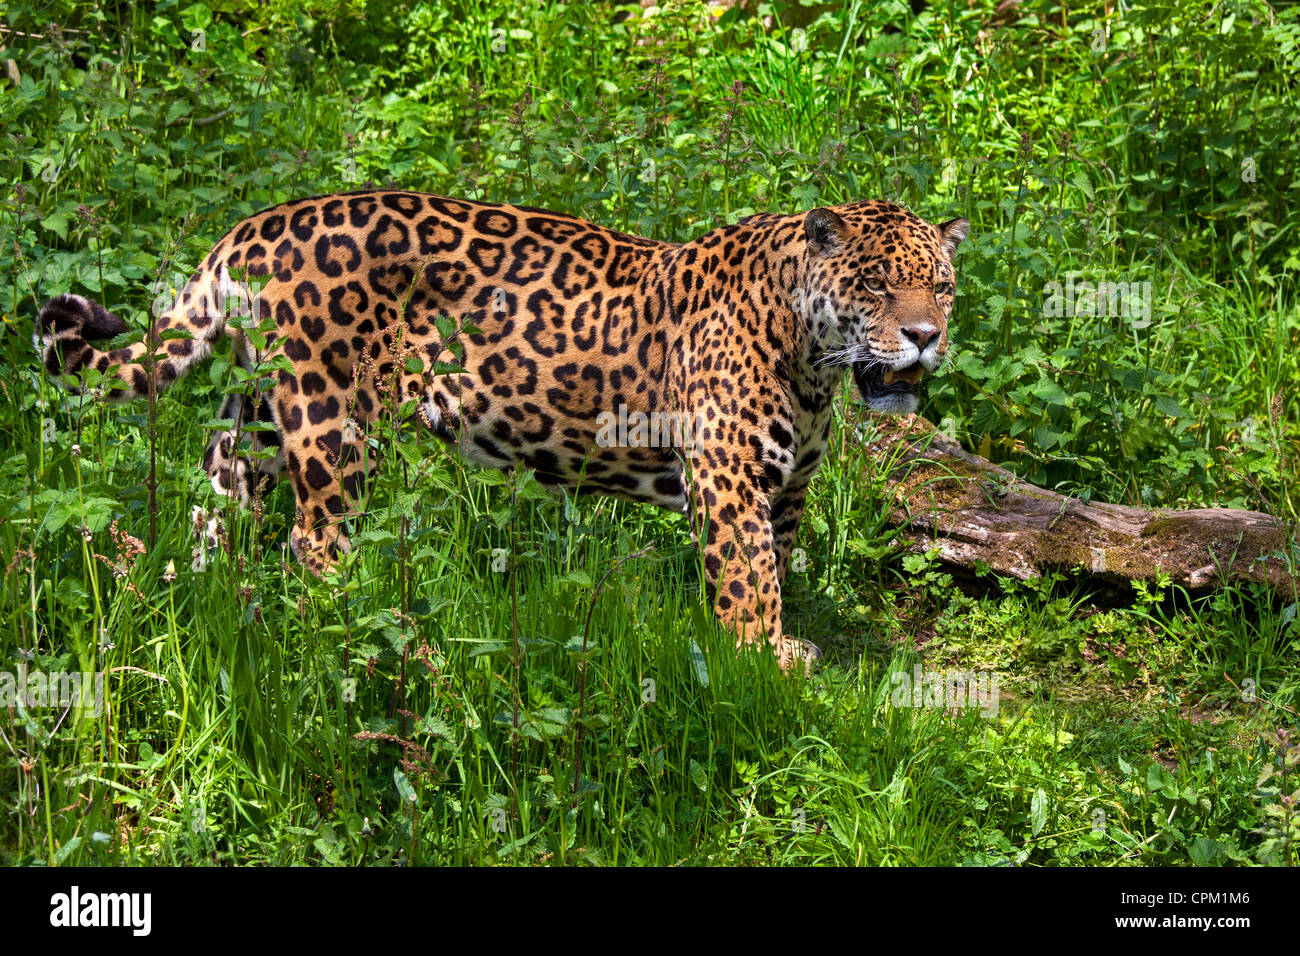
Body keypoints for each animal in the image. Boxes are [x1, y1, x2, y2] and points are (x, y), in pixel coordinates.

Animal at [38, 190, 968, 671]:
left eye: (943, 287)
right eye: (877, 285)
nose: (926, 336)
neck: (812, 363)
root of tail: (250, 228)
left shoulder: (786, 489)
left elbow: (775, 569)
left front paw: (774, 651)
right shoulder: (730, 481)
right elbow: (748, 581)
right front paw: (760, 661)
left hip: (260, 418)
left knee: (213, 513)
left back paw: (210, 613)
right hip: (333, 420)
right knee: (313, 544)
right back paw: (362, 634)